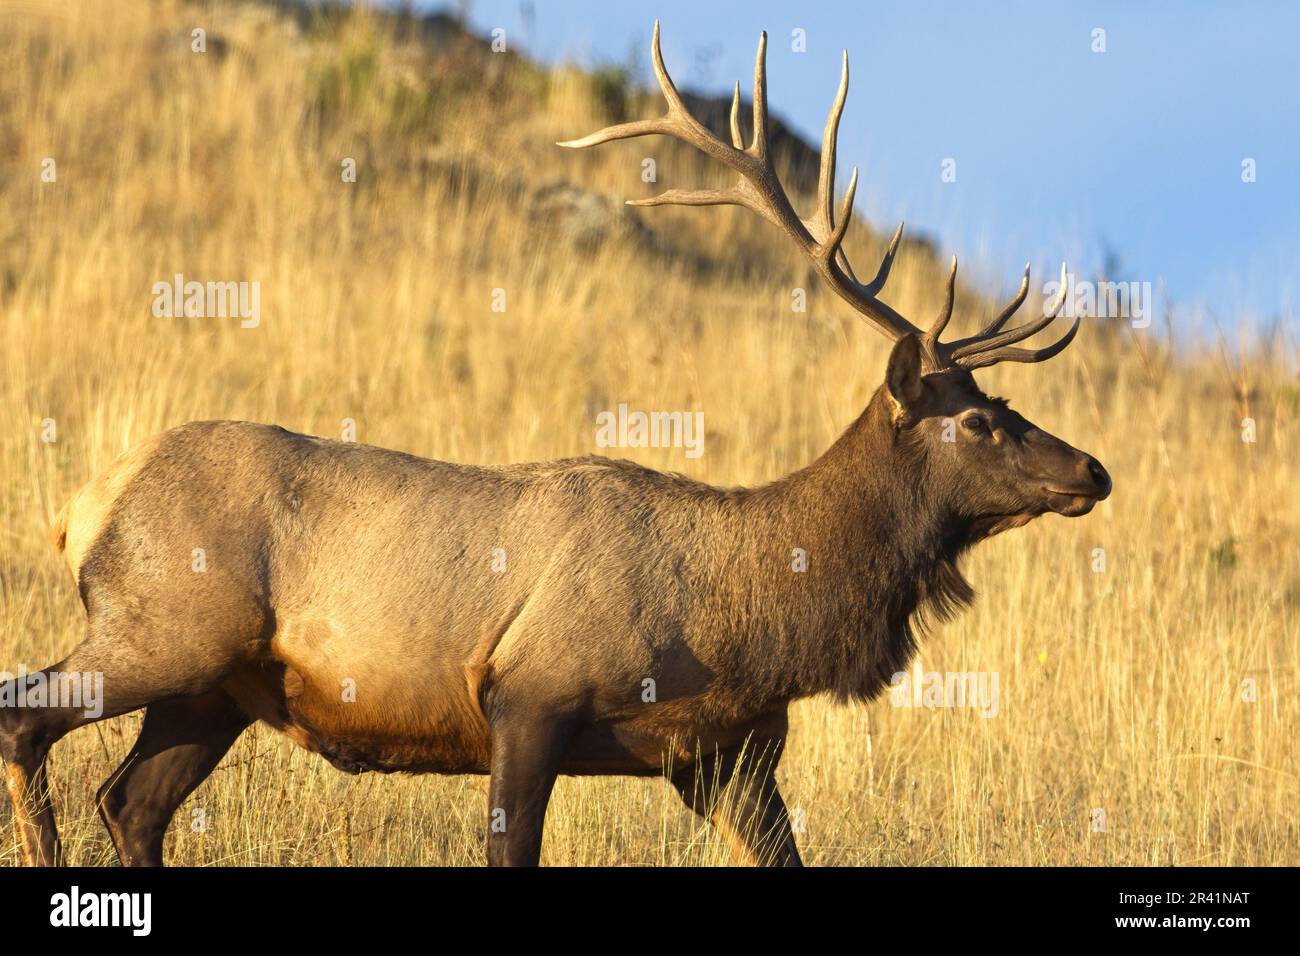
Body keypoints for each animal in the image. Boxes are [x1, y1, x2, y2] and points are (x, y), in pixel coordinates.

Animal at [0, 22, 1110, 868]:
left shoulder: (731, 757)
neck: (752, 614)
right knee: (25, 713)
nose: (1092, 470)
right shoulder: (528, 696)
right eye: (975, 419)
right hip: (163, 627)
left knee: (130, 801)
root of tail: (81, 506)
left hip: (212, 688)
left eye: (1004, 398)